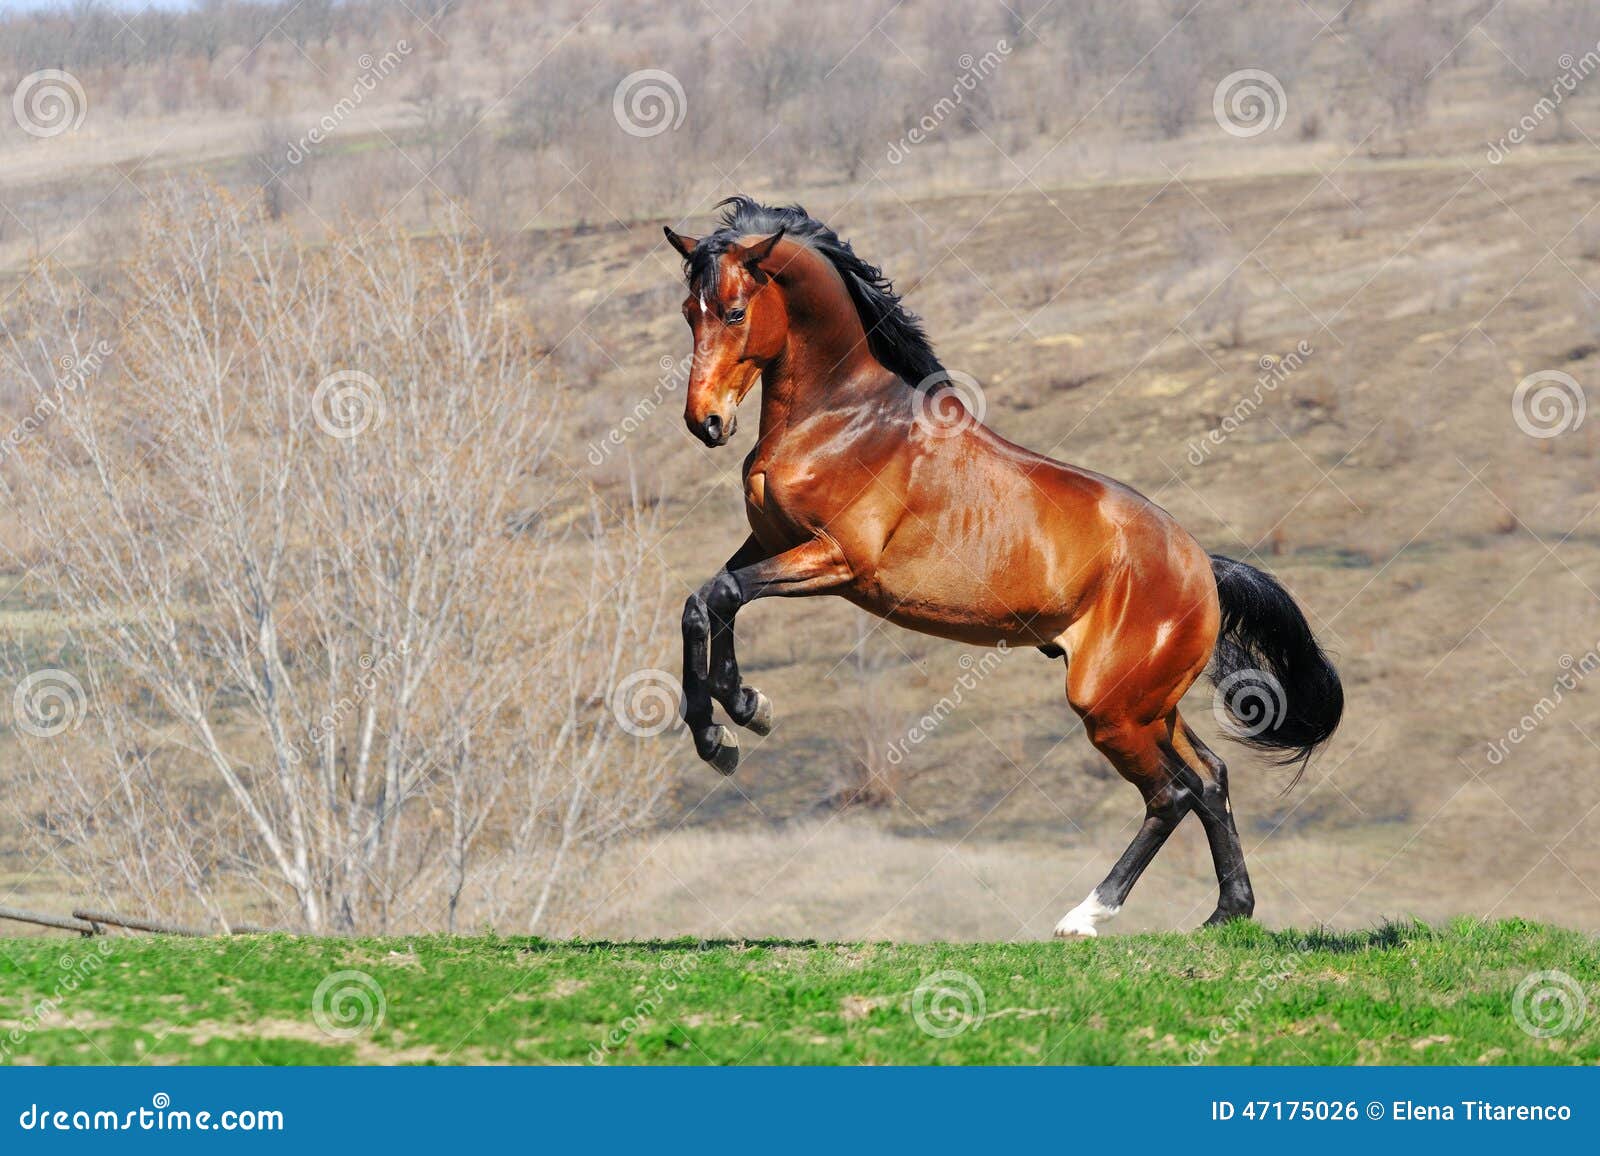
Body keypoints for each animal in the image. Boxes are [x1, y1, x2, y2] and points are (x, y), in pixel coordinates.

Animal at [663, 195, 1342, 936]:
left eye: (734, 311)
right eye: (688, 311)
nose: (704, 422)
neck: (841, 419)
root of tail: (1203, 569)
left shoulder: (837, 561)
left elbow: (720, 596)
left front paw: (729, 725)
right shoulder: (768, 544)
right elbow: (704, 601)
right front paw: (735, 719)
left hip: (1109, 707)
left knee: (1169, 795)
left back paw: (1085, 916)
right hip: (1149, 706)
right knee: (1210, 777)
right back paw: (1227, 912)